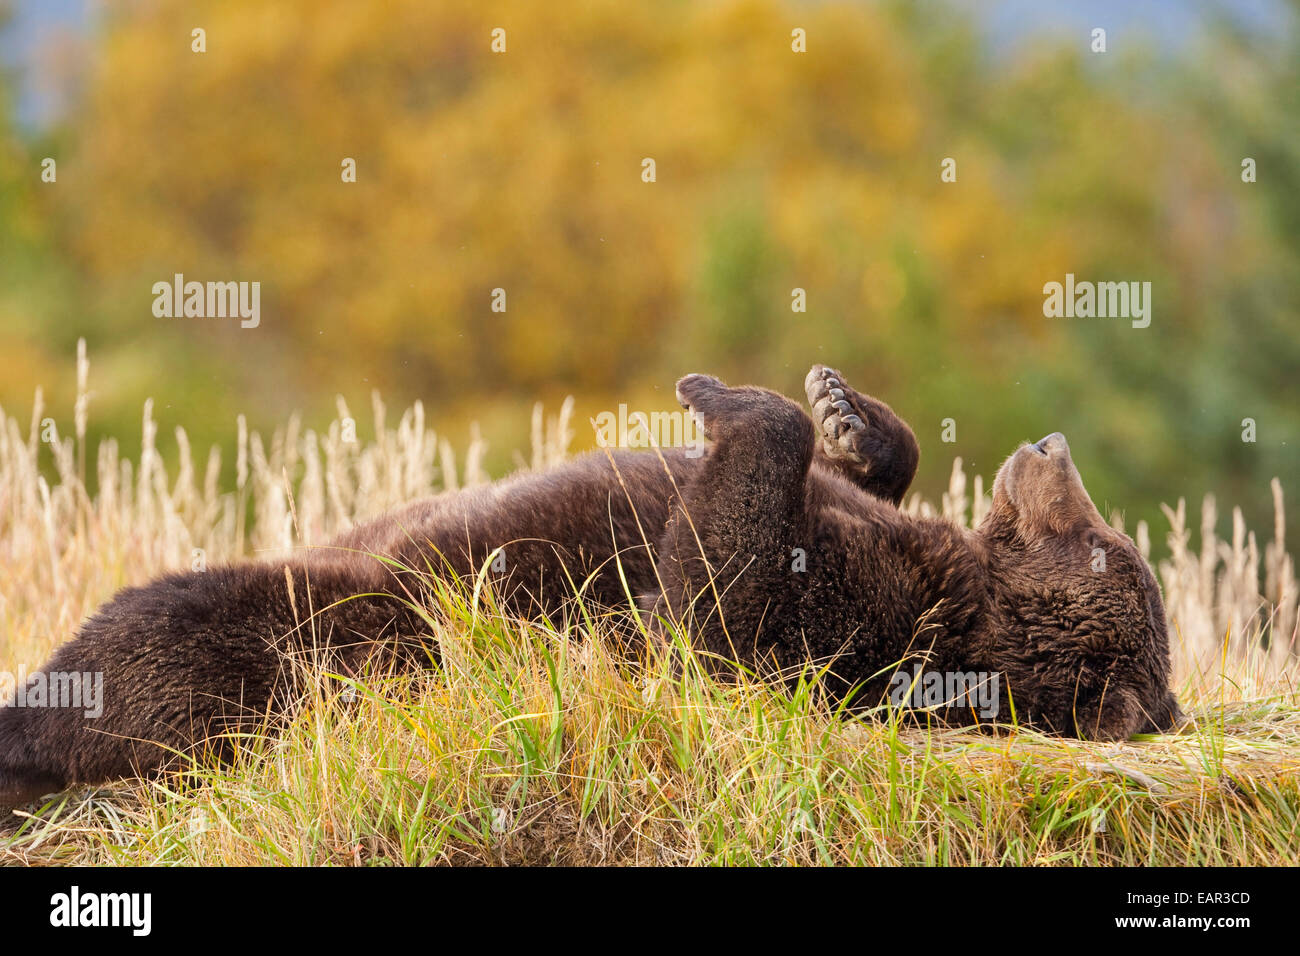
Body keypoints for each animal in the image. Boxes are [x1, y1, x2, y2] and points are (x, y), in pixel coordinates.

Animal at [0, 365, 1184, 810]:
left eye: (1102, 544)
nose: (1050, 444)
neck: (961, 588)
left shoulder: (849, 626)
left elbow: (715, 595)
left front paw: (724, 395)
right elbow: (846, 481)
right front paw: (845, 412)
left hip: (315, 624)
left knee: (169, 639)